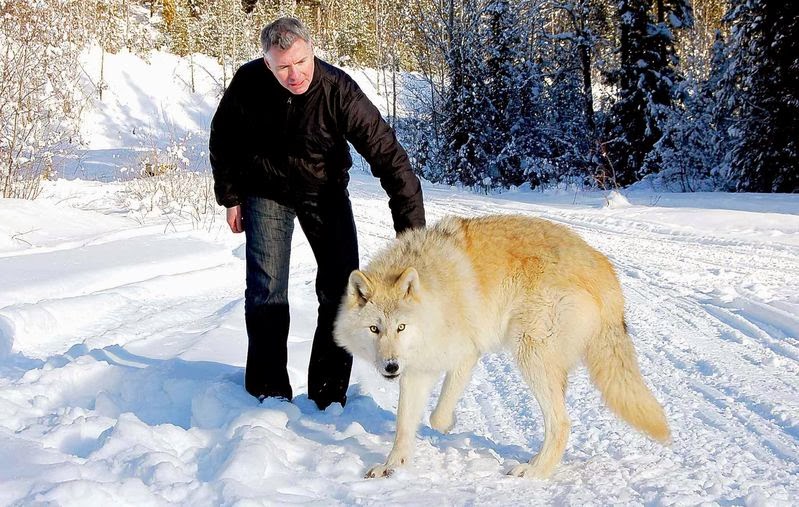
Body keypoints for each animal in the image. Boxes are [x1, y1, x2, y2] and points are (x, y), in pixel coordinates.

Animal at [333, 214, 670, 479]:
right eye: (375, 329)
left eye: (400, 328)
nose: (391, 367)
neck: (433, 295)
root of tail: (606, 271)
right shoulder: (417, 370)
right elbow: (404, 425)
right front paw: (392, 466)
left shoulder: (466, 355)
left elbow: (437, 417)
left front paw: (448, 425)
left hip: (530, 354)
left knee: (561, 423)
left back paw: (534, 471)